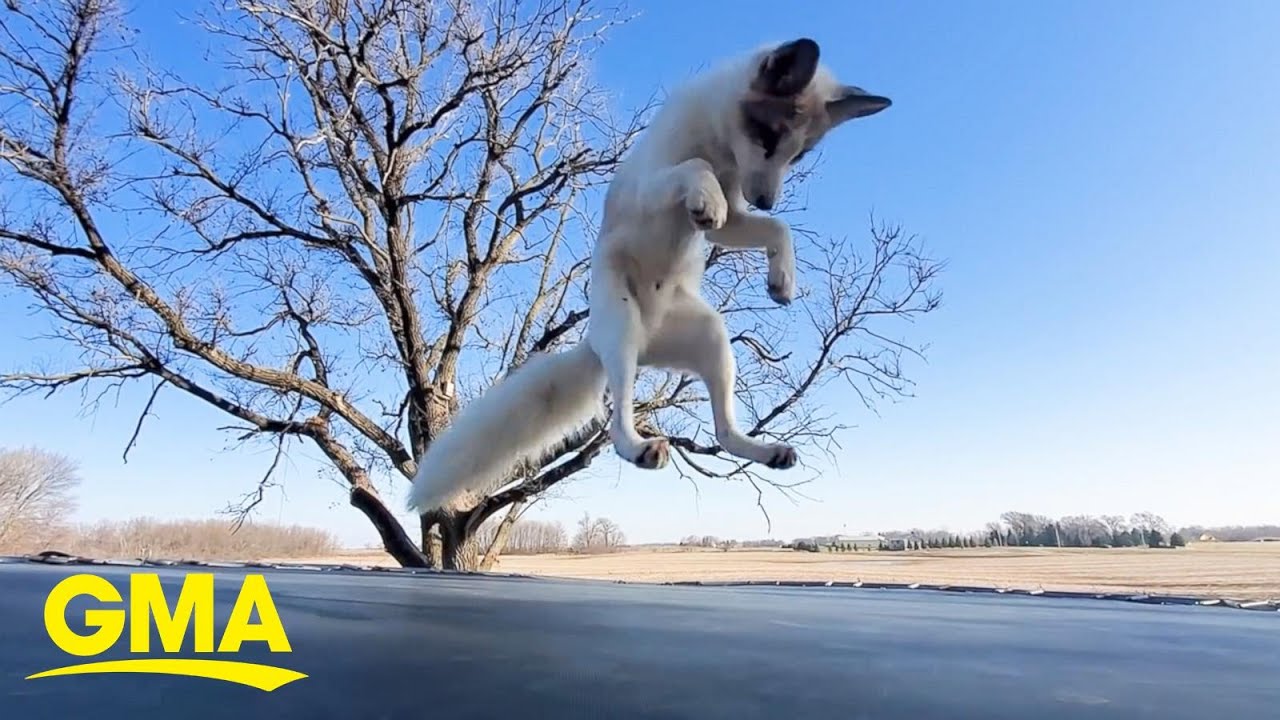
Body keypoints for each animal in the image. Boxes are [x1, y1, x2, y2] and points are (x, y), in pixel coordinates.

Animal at [408, 38, 891, 513]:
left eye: (800, 155)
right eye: (769, 136)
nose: (767, 199)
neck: (720, 144)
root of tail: (636, 339)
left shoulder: (733, 220)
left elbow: (774, 227)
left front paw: (783, 277)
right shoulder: (653, 184)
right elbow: (693, 169)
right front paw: (708, 195)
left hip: (712, 340)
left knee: (723, 432)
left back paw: (764, 450)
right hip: (622, 327)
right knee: (616, 418)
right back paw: (638, 447)